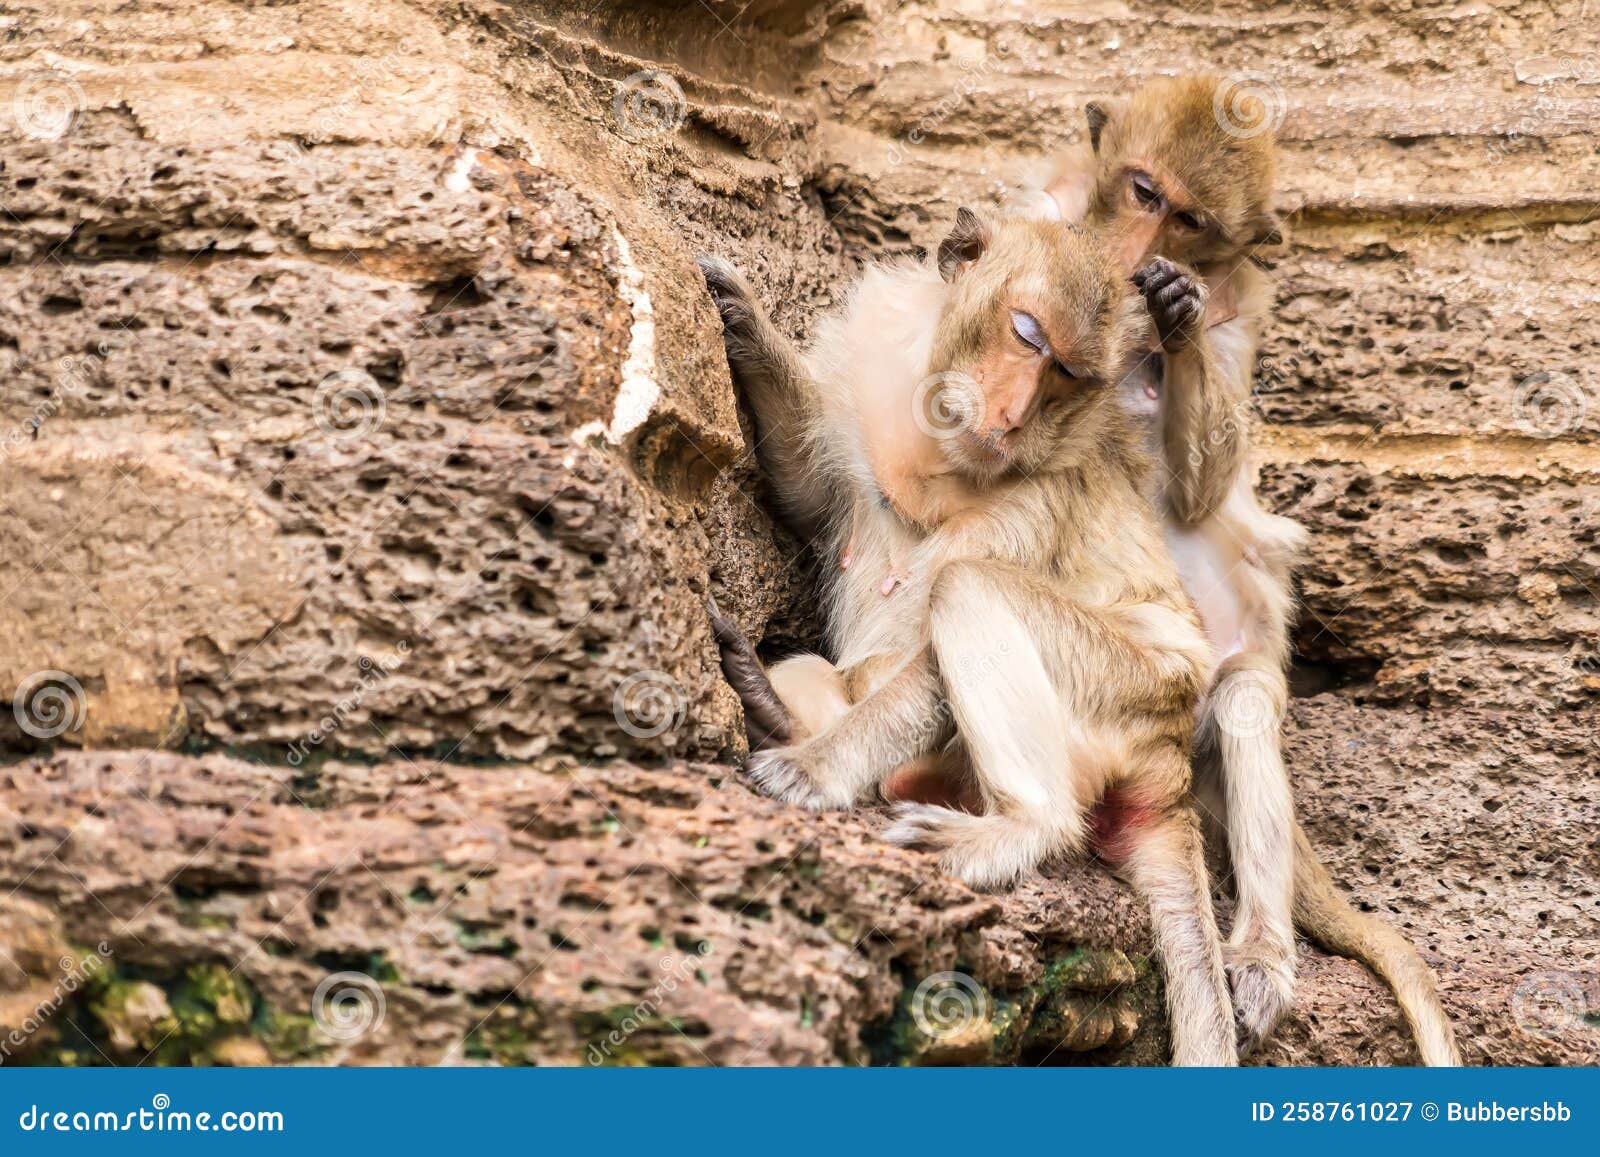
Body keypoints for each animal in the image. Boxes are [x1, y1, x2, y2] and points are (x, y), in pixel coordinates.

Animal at [700, 209, 1239, 1065]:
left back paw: (1018, 828)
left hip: (1129, 688)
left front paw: (818, 770)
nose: (1012, 414)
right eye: (1027, 334)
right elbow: (815, 493)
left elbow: (931, 654)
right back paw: (775, 705)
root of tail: (1173, 764)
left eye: (1069, 376)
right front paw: (745, 322)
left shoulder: (1044, 487)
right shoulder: (869, 355)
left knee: (971, 589)